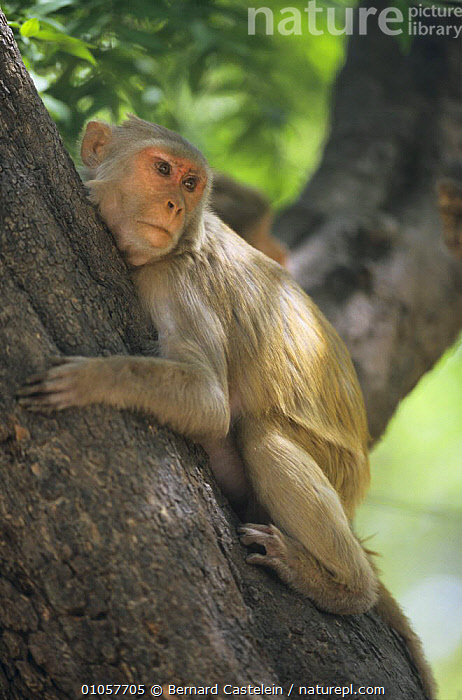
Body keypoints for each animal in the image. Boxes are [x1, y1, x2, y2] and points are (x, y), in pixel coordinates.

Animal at [18, 115, 435, 698]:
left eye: (192, 184)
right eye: (163, 170)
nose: (174, 205)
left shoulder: (175, 279)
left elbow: (212, 404)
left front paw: (90, 378)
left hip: (340, 468)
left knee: (260, 436)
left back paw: (344, 587)